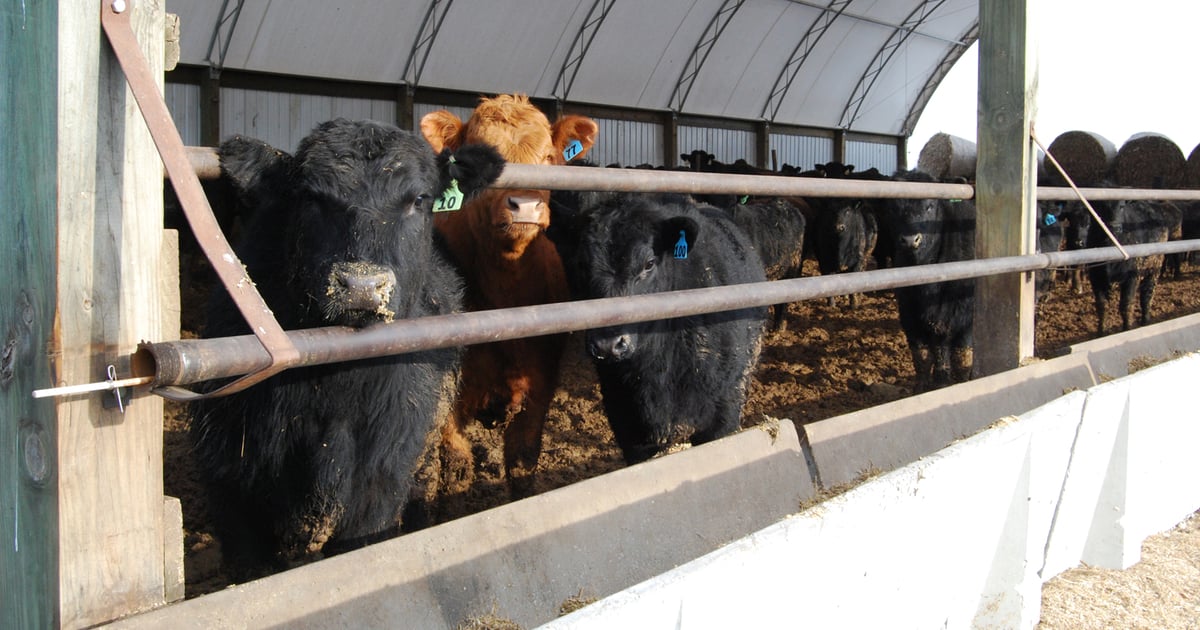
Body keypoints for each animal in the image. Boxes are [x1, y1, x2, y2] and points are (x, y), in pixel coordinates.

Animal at [420, 94, 598, 498]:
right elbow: (456, 466)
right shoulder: (449, 397)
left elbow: (522, 458)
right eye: (478, 161)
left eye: (548, 157)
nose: (525, 204)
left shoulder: (539, 381)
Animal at [881, 169, 977, 392]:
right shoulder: (910, 315)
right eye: (893, 207)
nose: (910, 240)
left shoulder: (965, 317)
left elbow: (962, 356)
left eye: (930, 205)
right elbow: (922, 355)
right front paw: (924, 387)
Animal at [1086, 196, 1176, 335]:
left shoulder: (1132, 276)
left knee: (1147, 295)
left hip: (1154, 268)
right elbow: (1102, 305)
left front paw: (1127, 329)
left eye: (1122, 206)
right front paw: (1102, 332)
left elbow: (1126, 304)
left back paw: (1146, 321)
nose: (1114, 226)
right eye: (1099, 205)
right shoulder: (1095, 277)